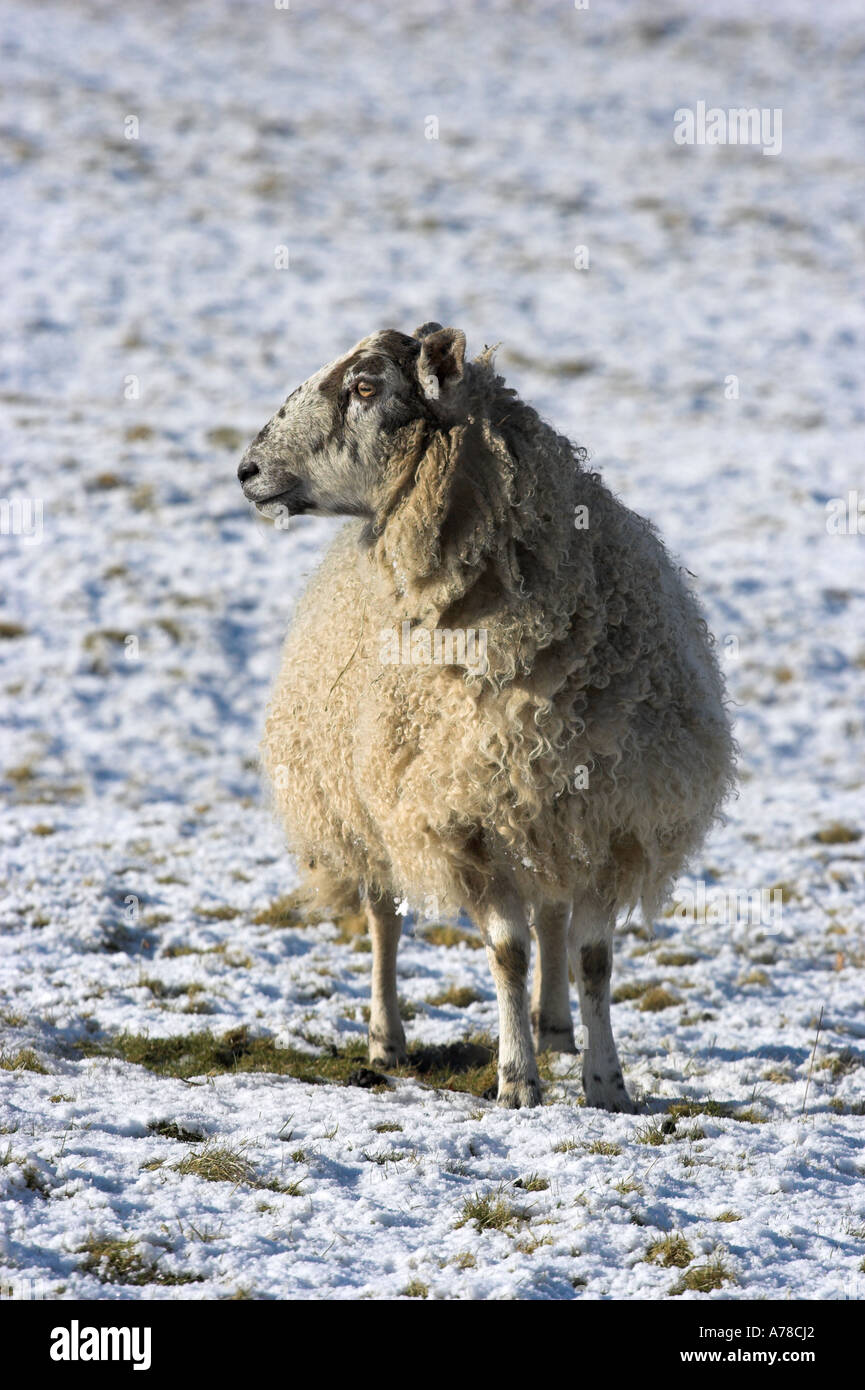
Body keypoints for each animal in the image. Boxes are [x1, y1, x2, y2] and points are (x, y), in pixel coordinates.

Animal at [238, 323, 735, 1111]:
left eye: (366, 386)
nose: (247, 470)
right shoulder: (464, 819)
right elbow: (506, 952)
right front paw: (517, 1080)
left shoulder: (612, 821)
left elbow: (593, 959)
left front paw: (605, 1083)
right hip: (360, 807)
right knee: (384, 918)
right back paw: (388, 1039)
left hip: (548, 811)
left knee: (552, 914)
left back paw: (555, 1027)